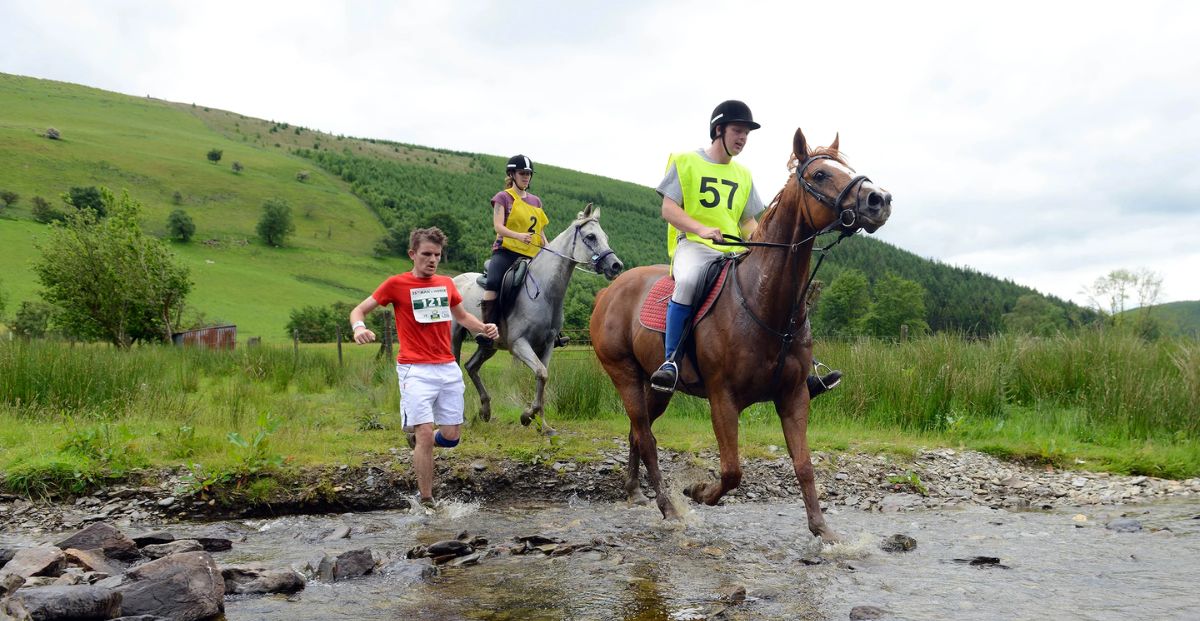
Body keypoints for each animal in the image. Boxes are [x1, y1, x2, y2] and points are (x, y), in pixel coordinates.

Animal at [452, 202, 624, 433]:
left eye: (605, 236)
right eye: (591, 236)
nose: (616, 266)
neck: (545, 292)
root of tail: (454, 279)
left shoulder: (548, 344)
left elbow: (542, 376)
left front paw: (540, 422)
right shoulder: (519, 344)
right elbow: (541, 373)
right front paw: (528, 416)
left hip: (489, 346)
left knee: (471, 366)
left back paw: (485, 411)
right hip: (455, 336)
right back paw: (460, 418)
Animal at [589, 129, 892, 542]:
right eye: (820, 175)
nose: (880, 200)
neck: (764, 303)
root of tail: (609, 290)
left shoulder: (794, 396)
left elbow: (804, 465)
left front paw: (824, 532)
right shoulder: (723, 398)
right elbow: (732, 471)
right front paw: (698, 492)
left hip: (655, 386)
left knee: (639, 430)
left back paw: (636, 491)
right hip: (624, 375)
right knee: (647, 438)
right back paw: (670, 508)